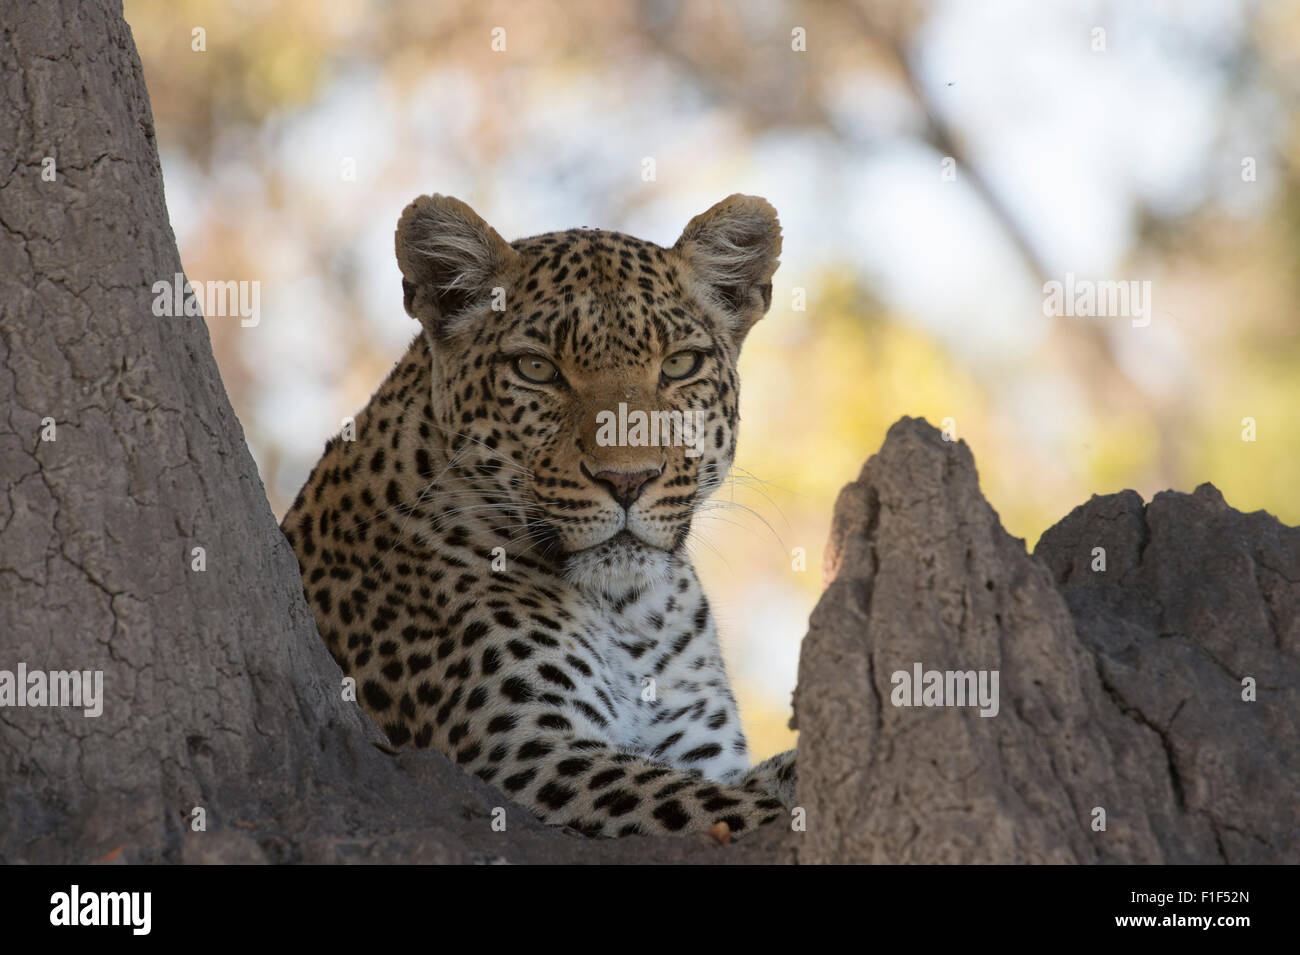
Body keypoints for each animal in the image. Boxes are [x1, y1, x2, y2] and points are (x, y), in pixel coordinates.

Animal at [280, 192, 797, 838]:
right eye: (536, 369)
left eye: (680, 364)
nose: (627, 480)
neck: (630, 612)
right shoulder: (526, 755)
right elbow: (733, 808)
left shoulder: (699, 746)